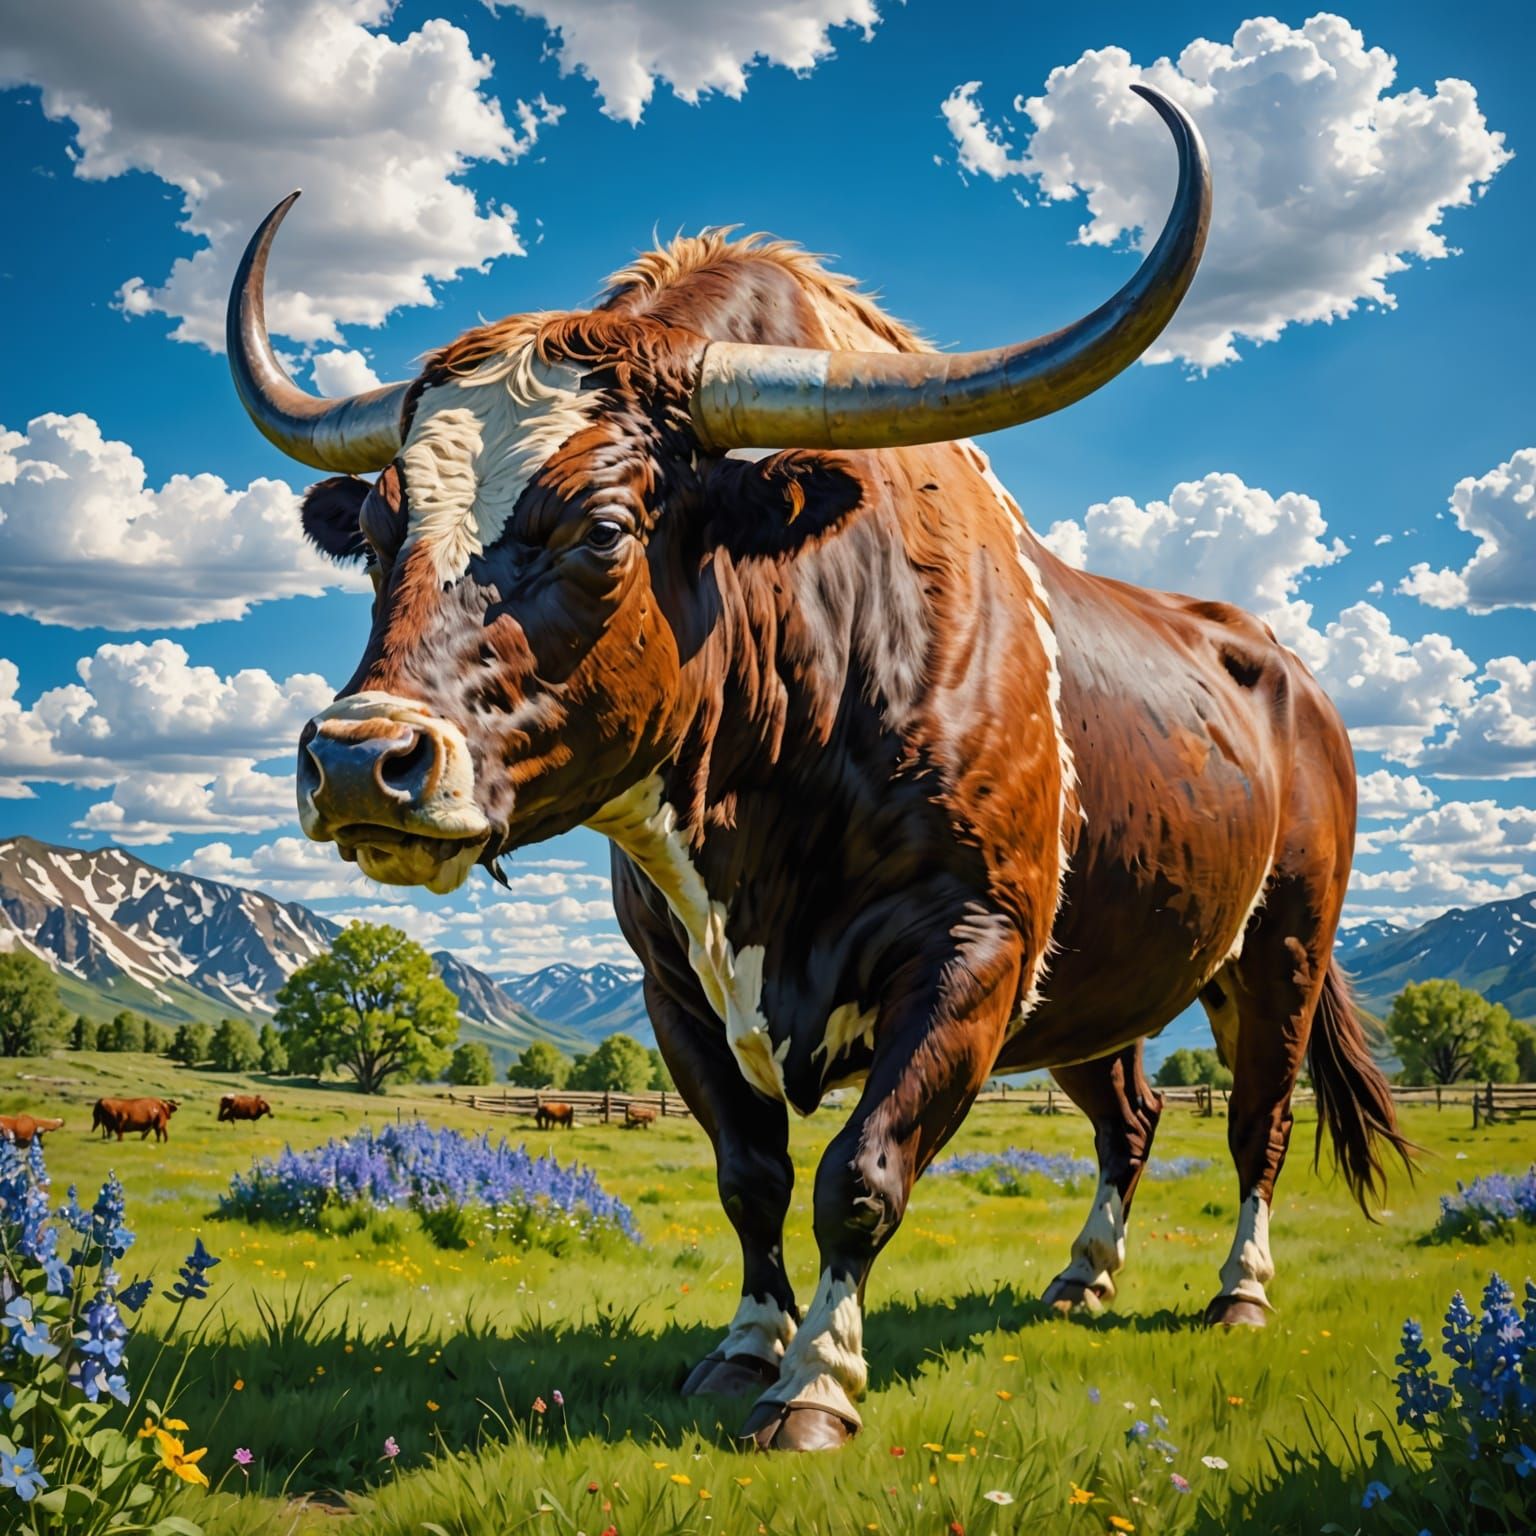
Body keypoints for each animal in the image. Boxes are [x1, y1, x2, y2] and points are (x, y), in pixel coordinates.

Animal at [227, 84, 1411, 1451]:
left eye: (605, 528)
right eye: (374, 532)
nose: (360, 759)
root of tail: (1286, 669)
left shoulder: (975, 950)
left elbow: (861, 1173)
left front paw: (816, 1383)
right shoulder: (675, 983)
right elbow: (750, 1174)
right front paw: (747, 1346)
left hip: (1280, 953)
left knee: (1259, 1120)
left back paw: (1238, 1294)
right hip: (1107, 976)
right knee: (1132, 1117)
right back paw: (1080, 1280)